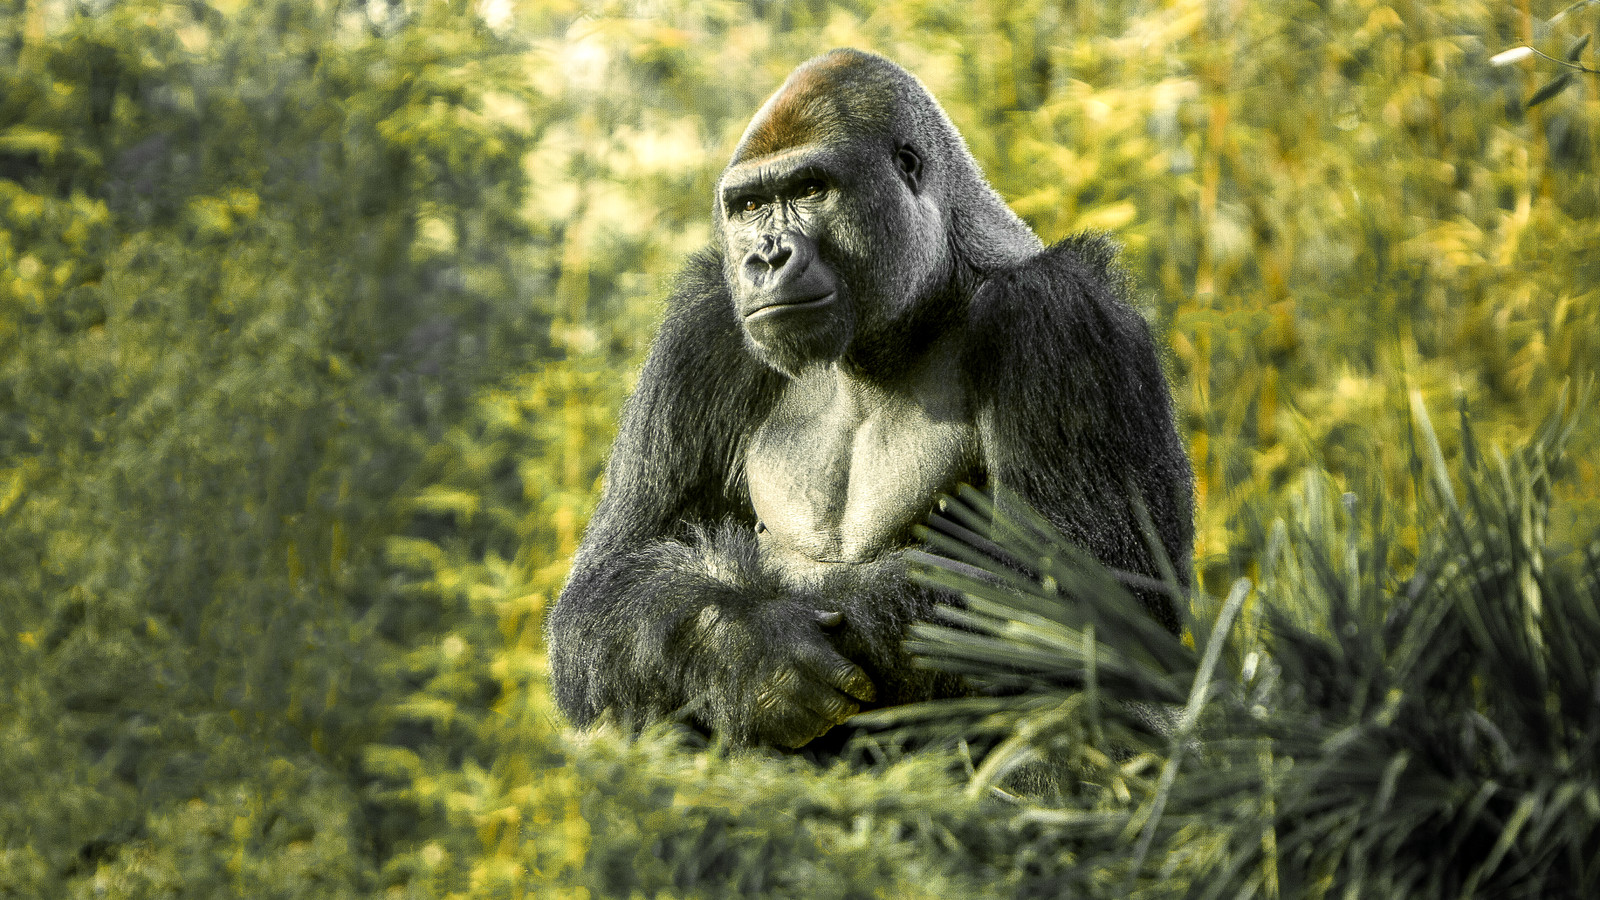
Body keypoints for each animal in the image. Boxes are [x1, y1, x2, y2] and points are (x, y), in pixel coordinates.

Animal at [545, 49, 1194, 750]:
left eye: (809, 190)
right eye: (750, 205)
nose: (765, 258)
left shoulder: (1062, 315)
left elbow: (1093, 594)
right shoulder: (703, 330)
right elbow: (606, 584)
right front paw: (741, 648)